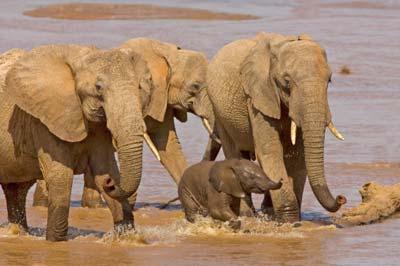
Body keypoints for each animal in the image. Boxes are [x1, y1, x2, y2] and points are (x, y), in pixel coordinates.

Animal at [0, 45, 159, 241]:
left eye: (139, 87)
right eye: (98, 88)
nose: (111, 183)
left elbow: (104, 168)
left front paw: (126, 237)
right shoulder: (44, 121)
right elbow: (60, 179)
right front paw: (56, 241)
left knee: (16, 190)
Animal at [206, 31, 346, 222]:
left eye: (330, 80)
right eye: (287, 82)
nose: (341, 198)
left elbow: (298, 155)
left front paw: (286, 217)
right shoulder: (257, 98)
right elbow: (270, 150)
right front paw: (290, 220)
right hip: (219, 113)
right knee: (233, 151)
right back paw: (247, 214)